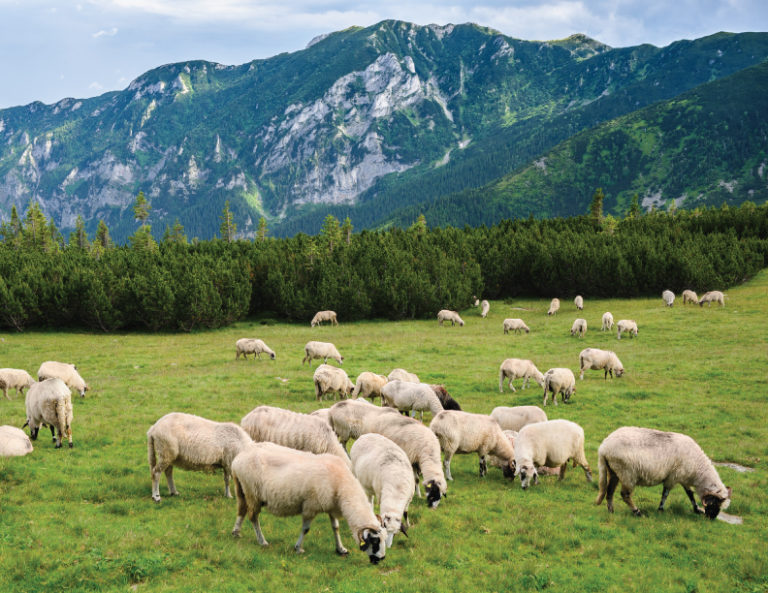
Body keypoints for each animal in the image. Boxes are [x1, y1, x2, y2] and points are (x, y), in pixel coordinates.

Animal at [230, 442, 387, 563]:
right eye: (375, 541)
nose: (381, 558)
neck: (342, 486)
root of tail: (238, 459)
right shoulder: (310, 506)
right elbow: (306, 529)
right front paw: (298, 548)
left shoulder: (330, 506)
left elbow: (335, 527)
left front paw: (341, 549)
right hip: (252, 493)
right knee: (253, 517)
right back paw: (262, 541)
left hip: (242, 489)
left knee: (241, 510)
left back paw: (236, 532)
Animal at [595, 426, 732, 519]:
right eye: (714, 503)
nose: (711, 518)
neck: (698, 470)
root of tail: (604, 447)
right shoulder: (673, 477)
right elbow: (665, 494)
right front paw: (660, 509)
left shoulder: (683, 478)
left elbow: (690, 494)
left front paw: (697, 509)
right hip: (627, 473)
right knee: (625, 495)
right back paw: (637, 512)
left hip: (613, 471)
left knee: (609, 491)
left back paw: (611, 511)